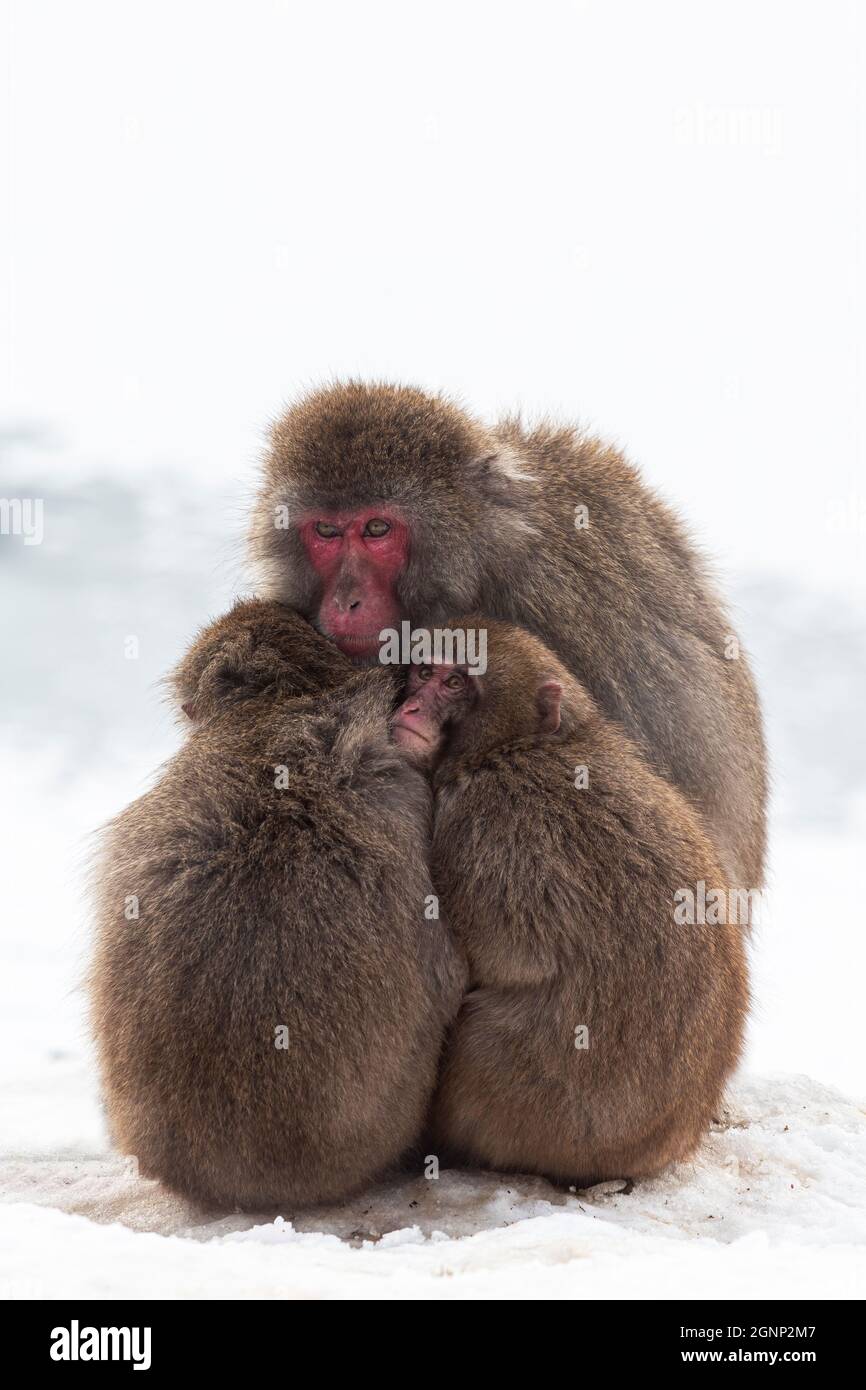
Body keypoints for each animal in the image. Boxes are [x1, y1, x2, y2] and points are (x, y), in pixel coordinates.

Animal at [390, 618, 749, 1186]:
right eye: (425, 671)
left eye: (454, 682)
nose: (409, 708)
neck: (514, 747)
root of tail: (660, 1147)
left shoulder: (483, 823)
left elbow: (504, 959)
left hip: (526, 1108)